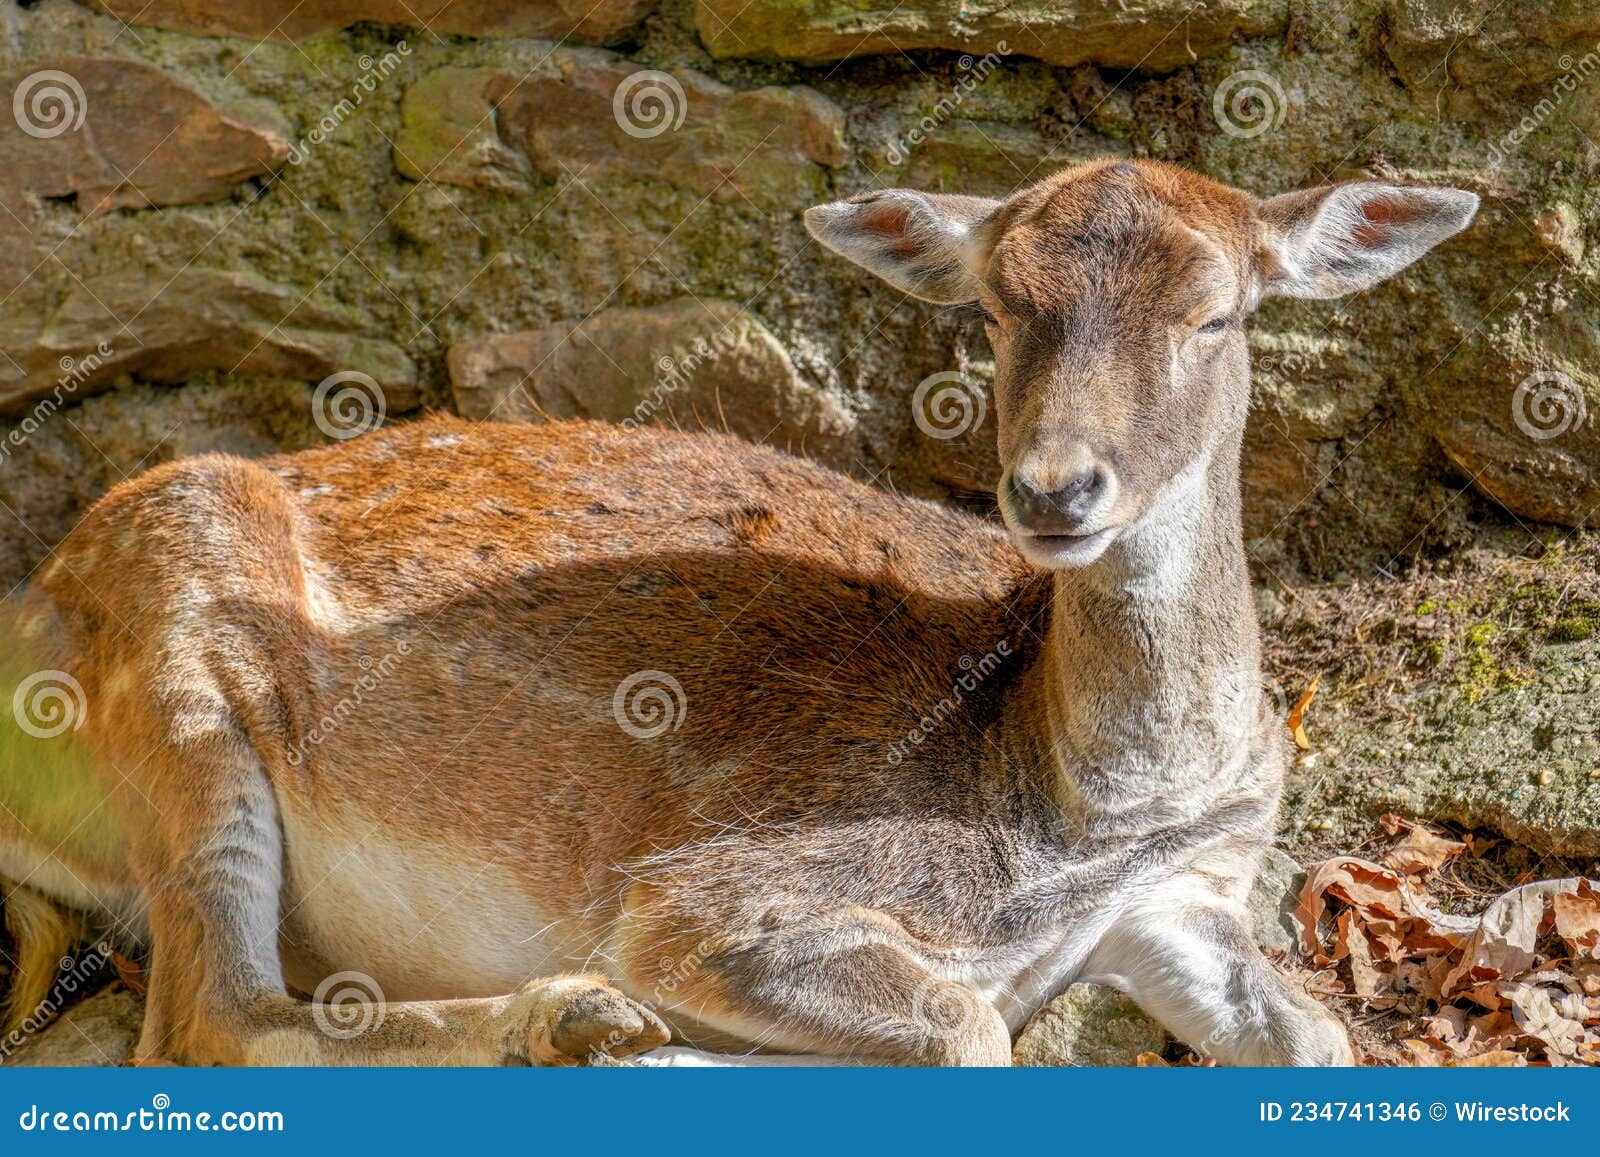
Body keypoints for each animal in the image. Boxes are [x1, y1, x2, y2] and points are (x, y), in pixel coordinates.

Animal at [0, 159, 1475, 1067]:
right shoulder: (711, 897)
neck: (1078, 806)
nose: (1056, 486)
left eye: (1220, 312)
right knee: (214, 1014)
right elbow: (969, 1025)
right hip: (176, 670)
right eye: (1000, 306)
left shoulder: (1184, 895)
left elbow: (1318, 1034)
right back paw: (579, 1018)